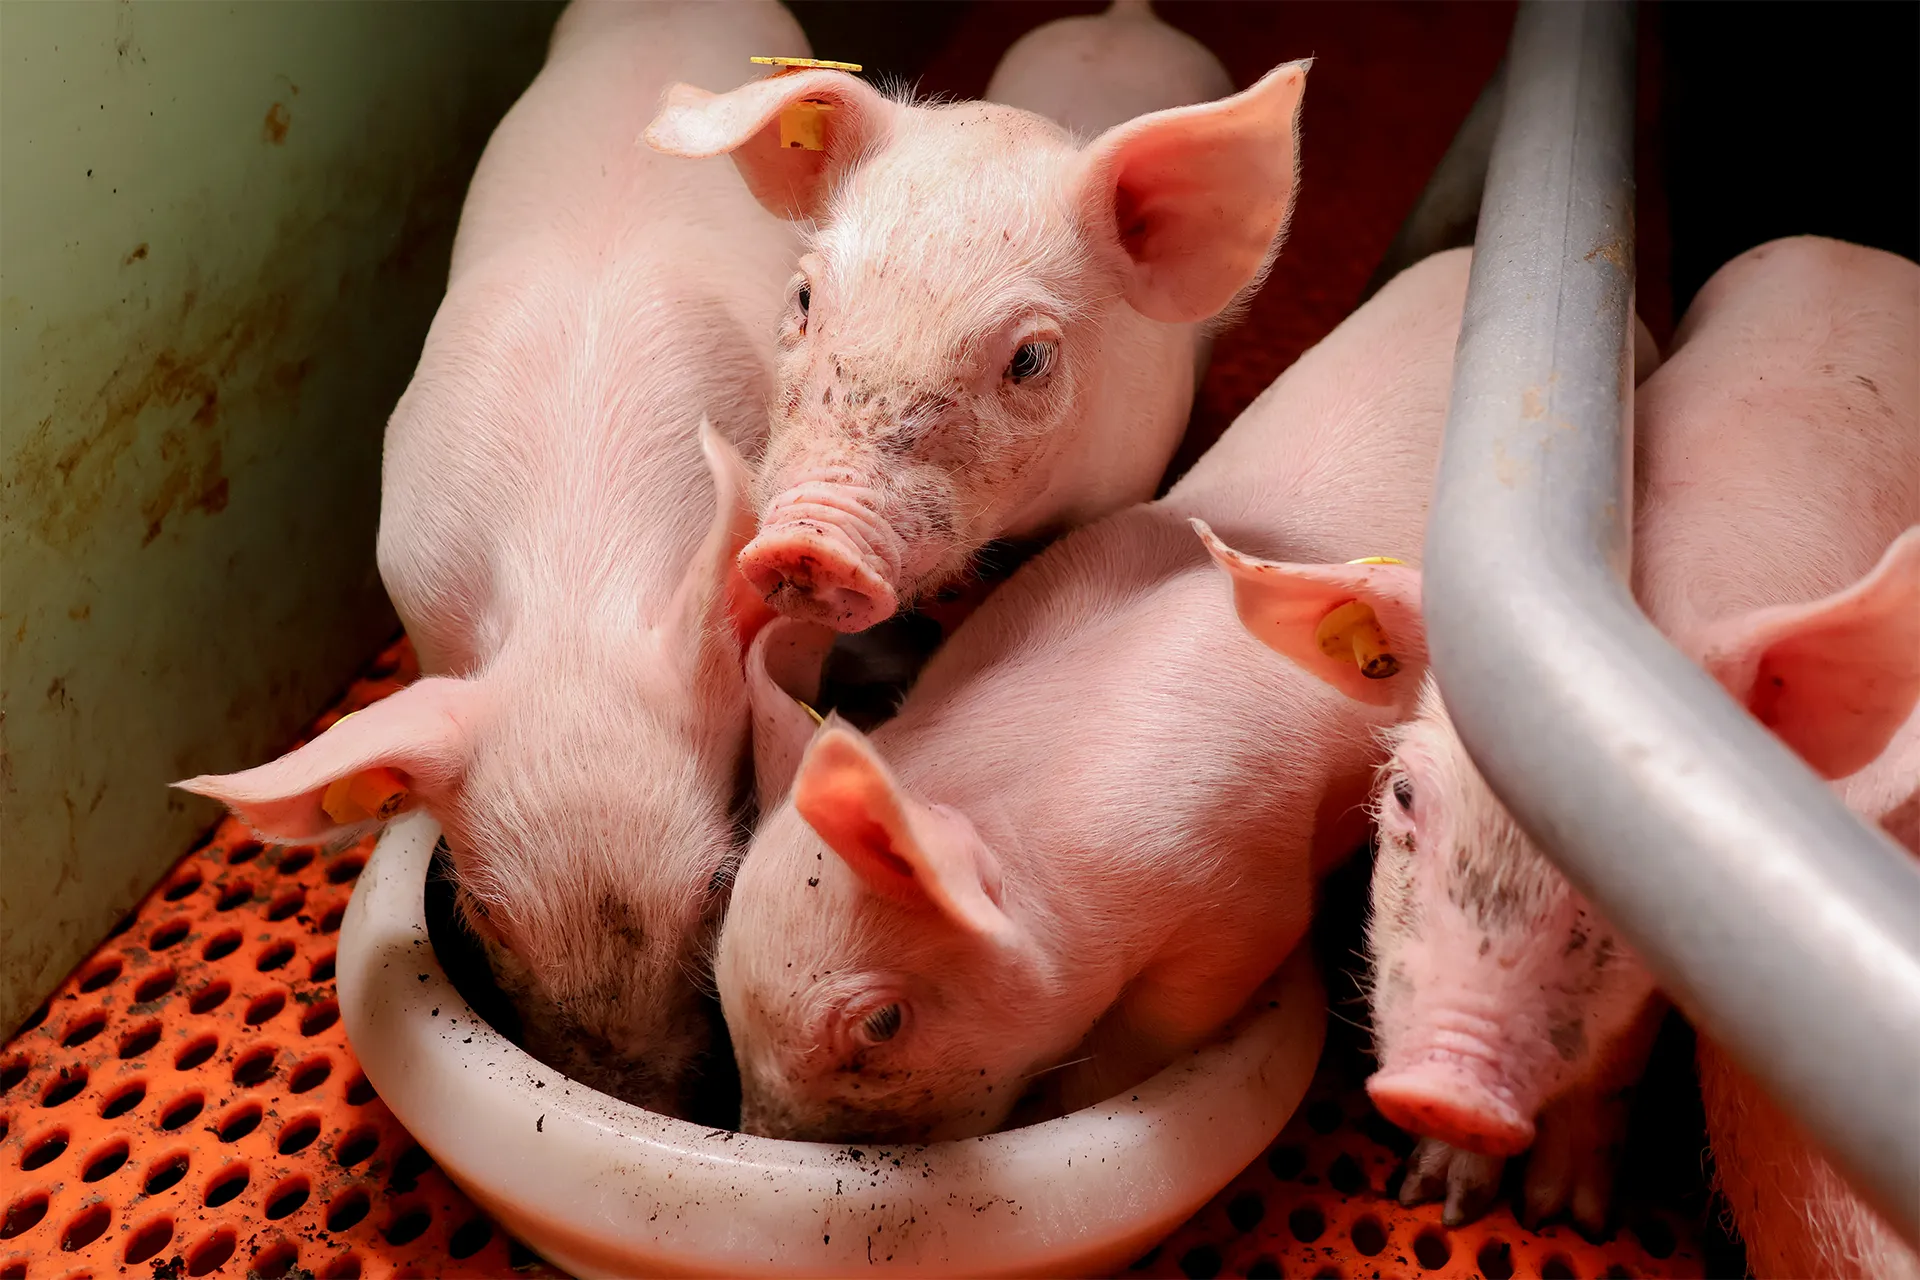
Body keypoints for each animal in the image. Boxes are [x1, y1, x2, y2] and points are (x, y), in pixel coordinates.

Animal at [1211, 236, 1920, 1242]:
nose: (1444, 1090)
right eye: (1403, 794)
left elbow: (1619, 1059)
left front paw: (1565, 1218)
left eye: (1647, 876)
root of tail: (1854, 247)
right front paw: (1440, 1199)